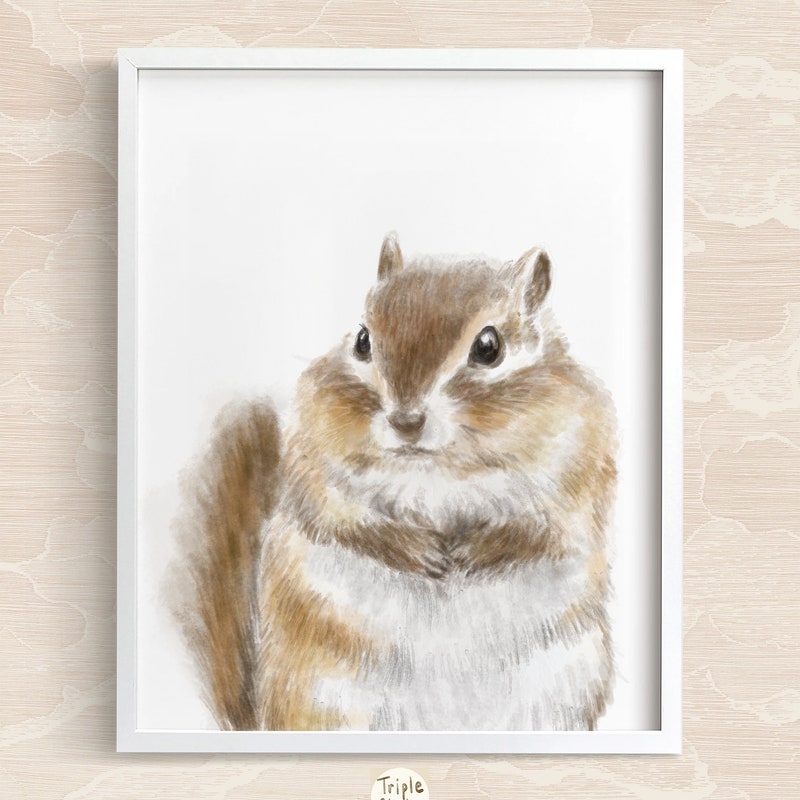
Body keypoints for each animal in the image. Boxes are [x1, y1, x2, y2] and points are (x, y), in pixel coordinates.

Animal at [176, 233, 617, 732]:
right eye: (362, 340)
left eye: (489, 347)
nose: (406, 421)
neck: (439, 470)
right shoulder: (314, 468)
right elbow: (345, 523)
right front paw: (417, 551)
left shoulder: (579, 475)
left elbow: (543, 533)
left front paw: (476, 550)